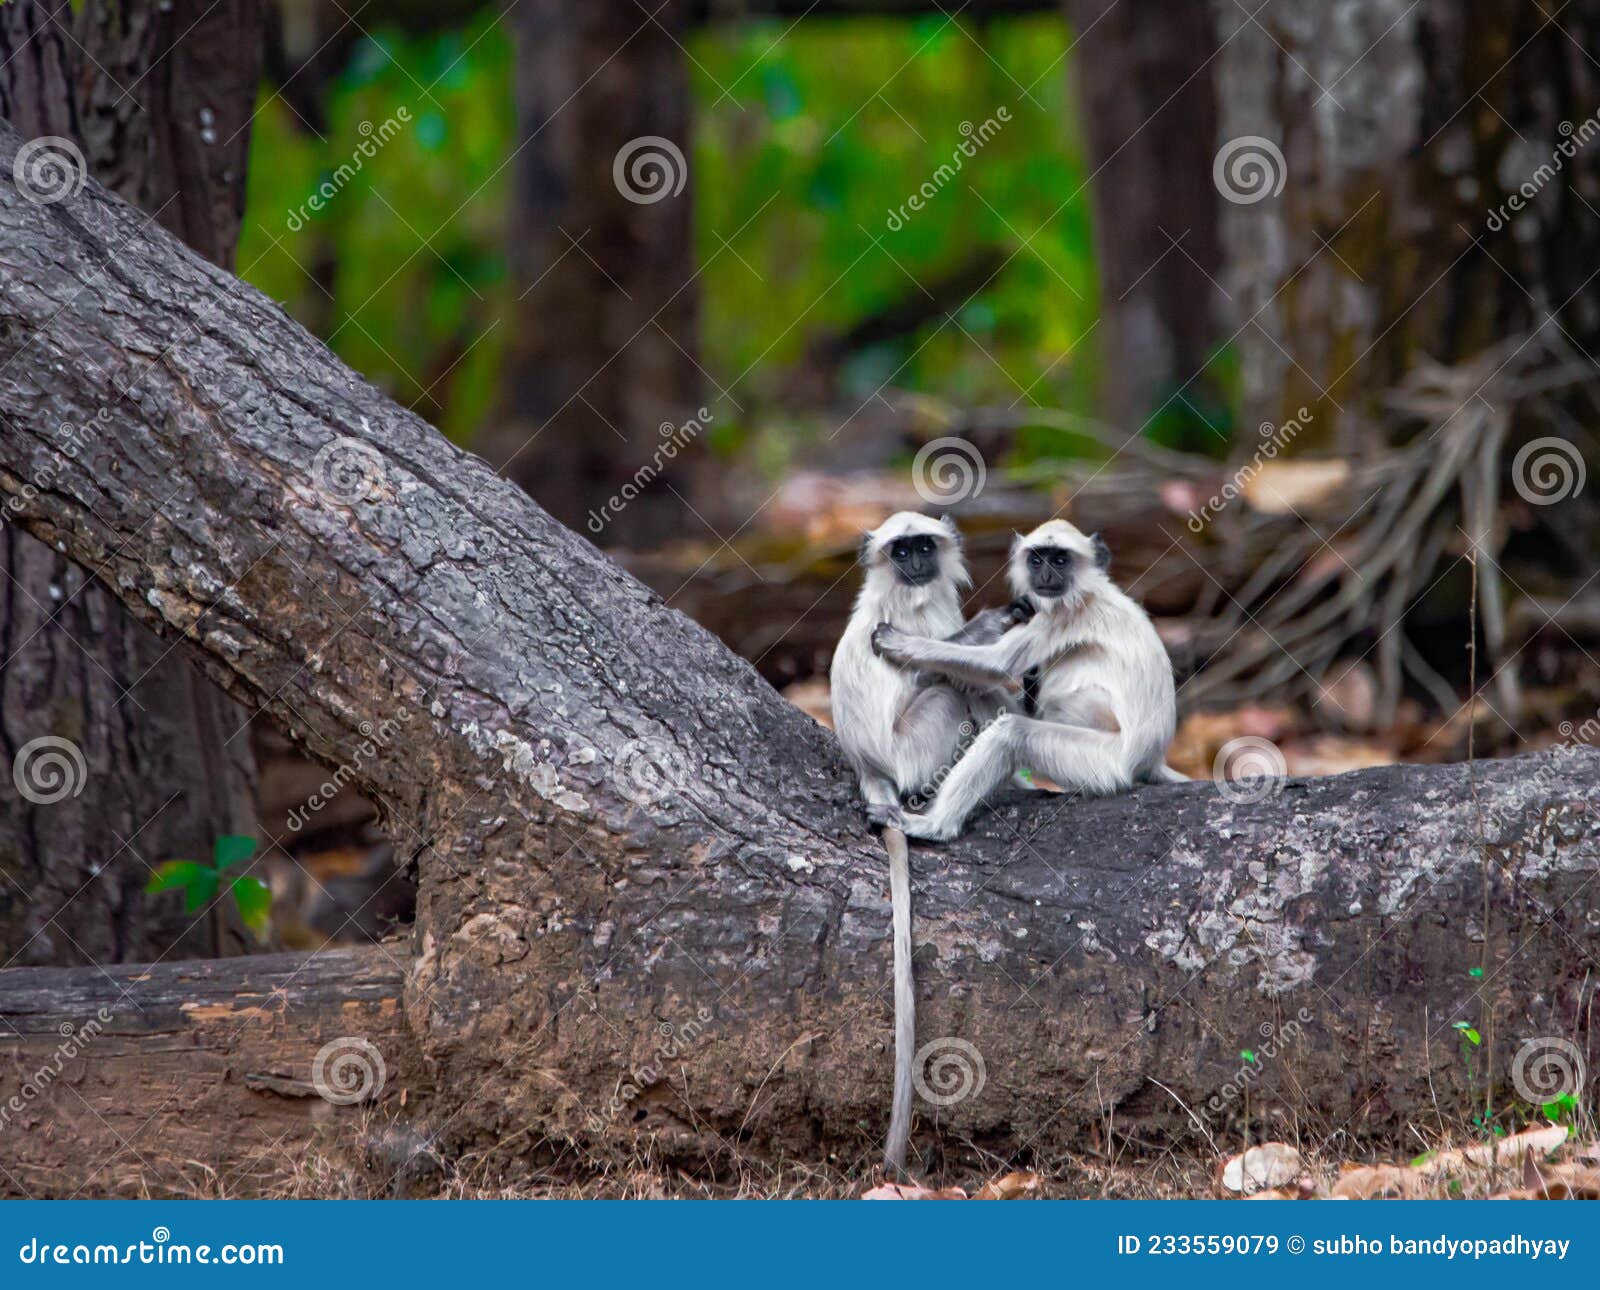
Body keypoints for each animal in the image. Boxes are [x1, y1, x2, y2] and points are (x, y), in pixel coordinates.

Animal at [829, 510, 1032, 1177]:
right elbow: (946, 665)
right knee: (951, 688)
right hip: (914, 746)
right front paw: (996, 622)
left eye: (923, 545)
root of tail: (870, 769)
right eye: (901, 550)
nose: (916, 561)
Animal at [870, 518, 1184, 842]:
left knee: (1010, 733)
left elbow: (997, 665)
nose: (1044, 575)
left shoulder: (1064, 614)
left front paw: (900, 644)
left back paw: (935, 826)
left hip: (1105, 763)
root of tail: (1151, 758)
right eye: (1036, 560)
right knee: (971, 685)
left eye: (1059, 560)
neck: (1088, 591)